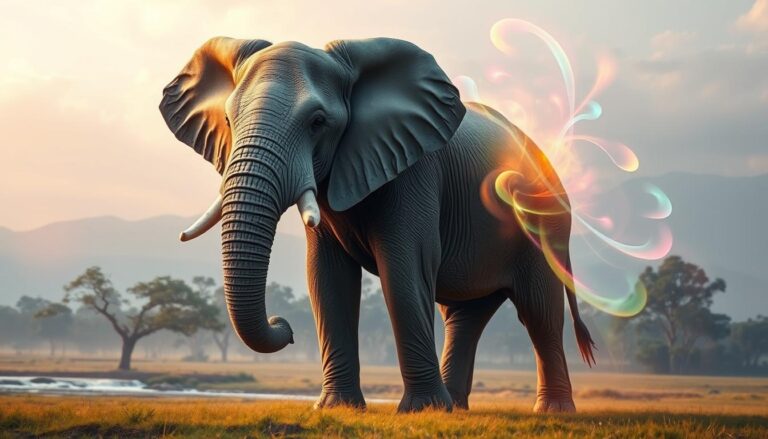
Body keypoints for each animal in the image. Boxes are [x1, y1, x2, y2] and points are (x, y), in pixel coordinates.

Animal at [159, 36, 596, 413]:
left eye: (318, 122)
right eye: (228, 119)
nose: (283, 326)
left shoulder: (415, 169)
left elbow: (404, 268)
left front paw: (421, 411)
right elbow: (326, 275)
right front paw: (337, 408)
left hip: (544, 224)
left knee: (539, 312)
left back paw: (550, 411)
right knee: (465, 316)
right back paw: (455, 409)